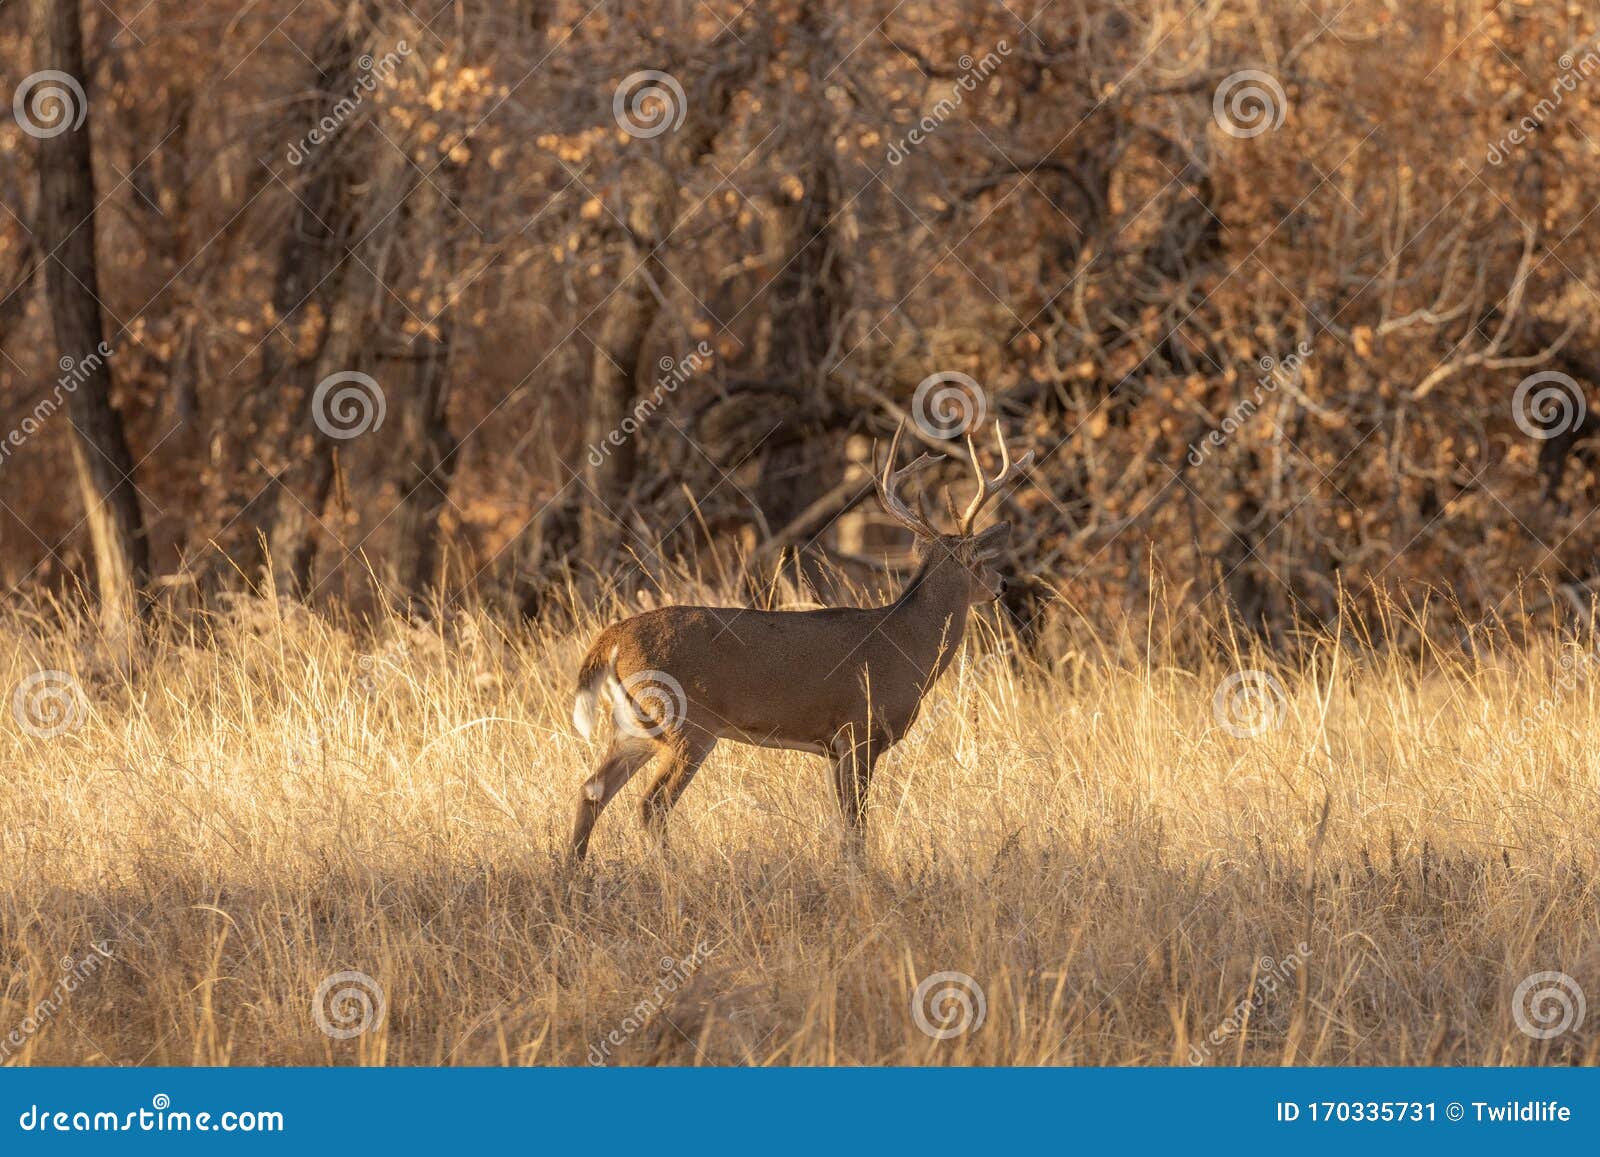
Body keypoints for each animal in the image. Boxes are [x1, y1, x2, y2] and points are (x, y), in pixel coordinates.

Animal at [567, 420, 1032, 860]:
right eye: (981, 561)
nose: (1002, 584)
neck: (908, 643)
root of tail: (612, 637)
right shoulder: (860, 731)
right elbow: (857, 825)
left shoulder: (832, 748)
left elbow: (843, 825)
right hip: (686, 723)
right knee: (653, 804)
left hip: (634, 726)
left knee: (591, 790)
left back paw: (573, 872)